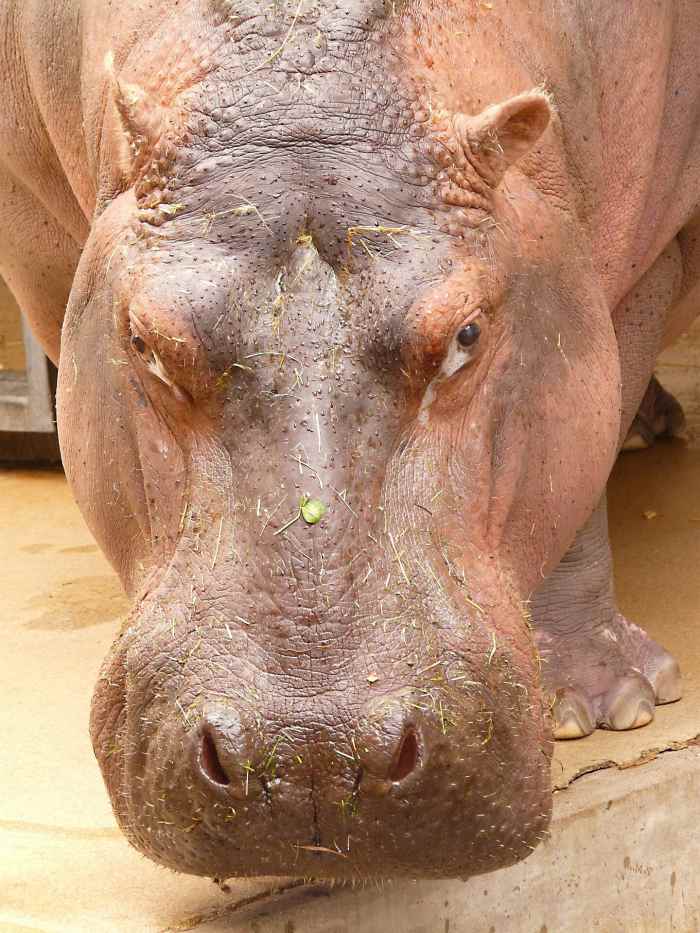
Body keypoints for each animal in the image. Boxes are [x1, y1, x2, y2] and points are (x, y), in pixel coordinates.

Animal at [1, 0, 698, 883]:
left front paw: (602, 706)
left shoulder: (641, 261)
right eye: (144, 341)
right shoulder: (38, 244)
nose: (314, 757)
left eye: (468, 331)